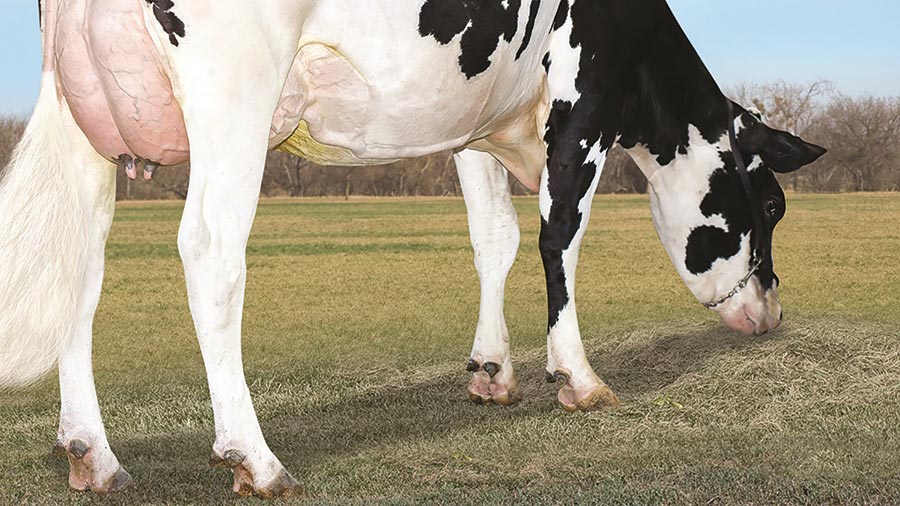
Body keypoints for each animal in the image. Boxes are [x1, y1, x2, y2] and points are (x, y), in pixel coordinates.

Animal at [0, 0, 825, 498]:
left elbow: (495, 237)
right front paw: (577, 377)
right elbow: (559, 235)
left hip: (84, 116)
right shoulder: (583, 95)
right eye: (773, 205)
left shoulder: (473, 124)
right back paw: (253, 456)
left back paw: (92, 453)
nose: (773, 311)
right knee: (212, 250)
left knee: (80, 259)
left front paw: (492, 370)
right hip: (234, 87)